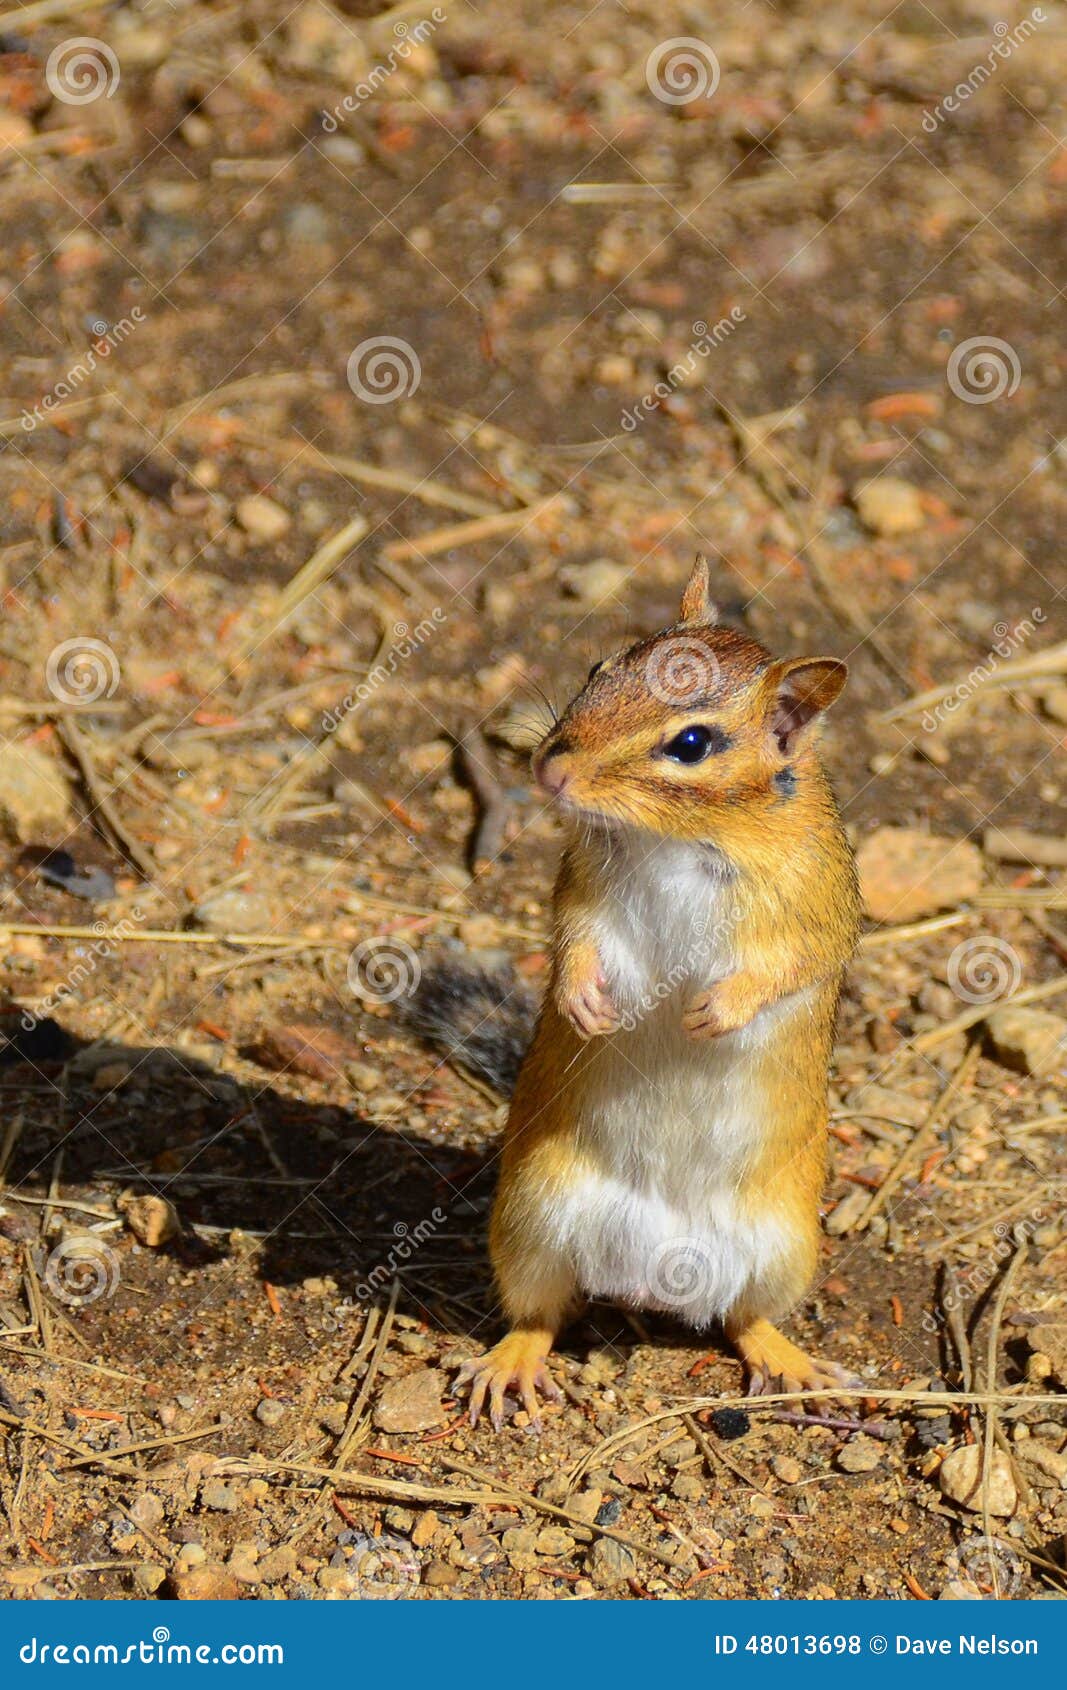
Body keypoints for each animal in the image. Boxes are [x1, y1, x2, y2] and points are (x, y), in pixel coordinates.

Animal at [408, 557, 861, 1428]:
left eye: (691, 743)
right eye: (598, 667)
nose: (549, 767)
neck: (677, 838)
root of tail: (652, 1281)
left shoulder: (814, 909)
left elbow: (787, 967)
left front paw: (716, 1010)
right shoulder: (584, 894)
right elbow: (574, 944)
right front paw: (582, 1003)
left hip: (784, 1251)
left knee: (744, 1317)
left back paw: (789, 1362)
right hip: (531, 1222)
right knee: (538, 1313)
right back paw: (510, 1364)